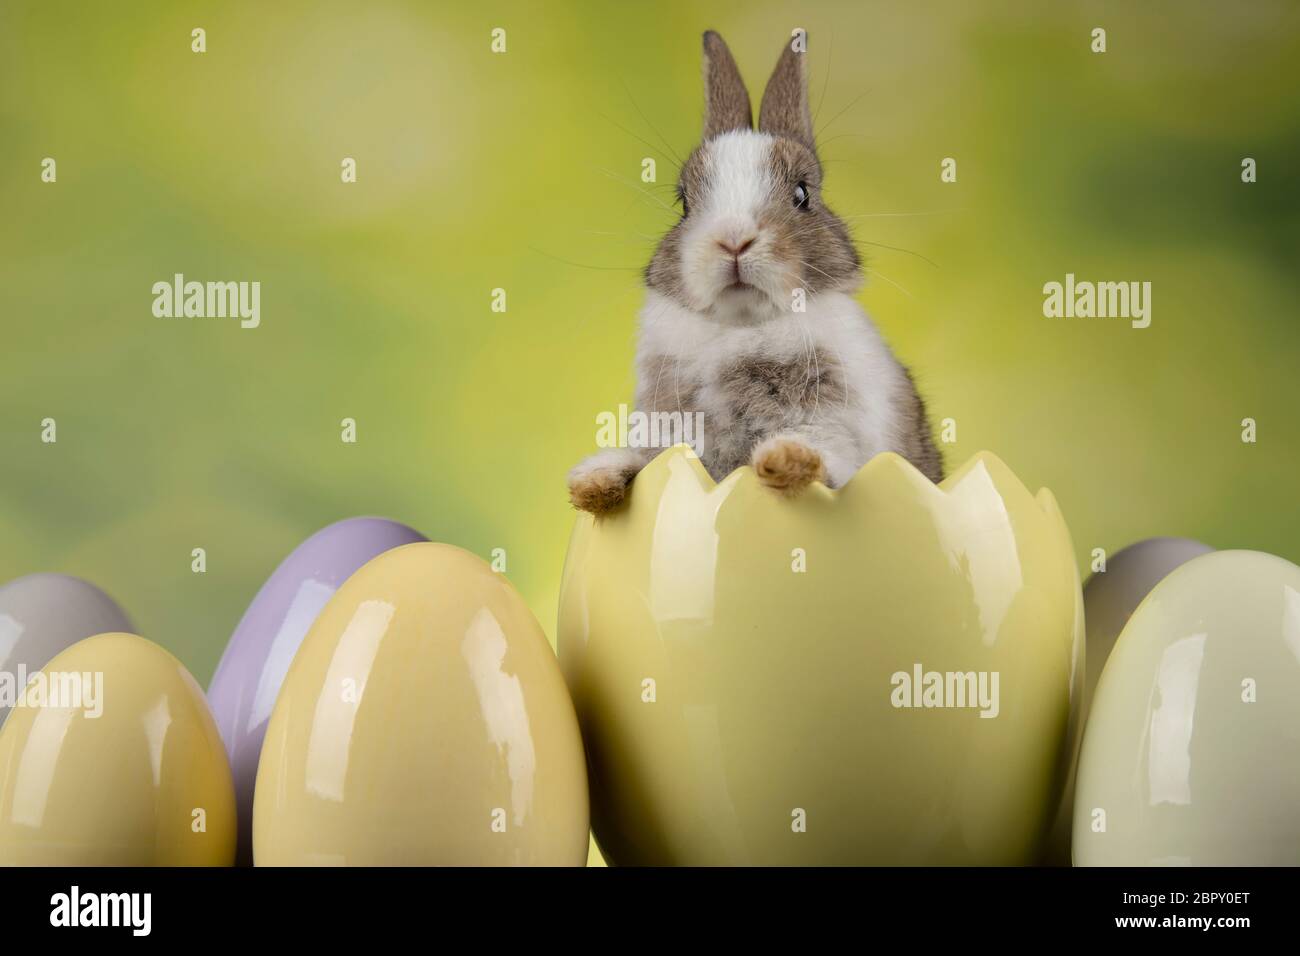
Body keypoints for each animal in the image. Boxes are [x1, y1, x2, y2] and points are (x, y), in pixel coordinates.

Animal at [568, 30, 943, 515]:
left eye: (802, 193)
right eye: (683, 202)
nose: (733, 239)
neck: (741, 329)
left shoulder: (842, 427)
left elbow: (828, 456)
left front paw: (784, 459)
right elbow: (642, 460)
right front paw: (592, 483)